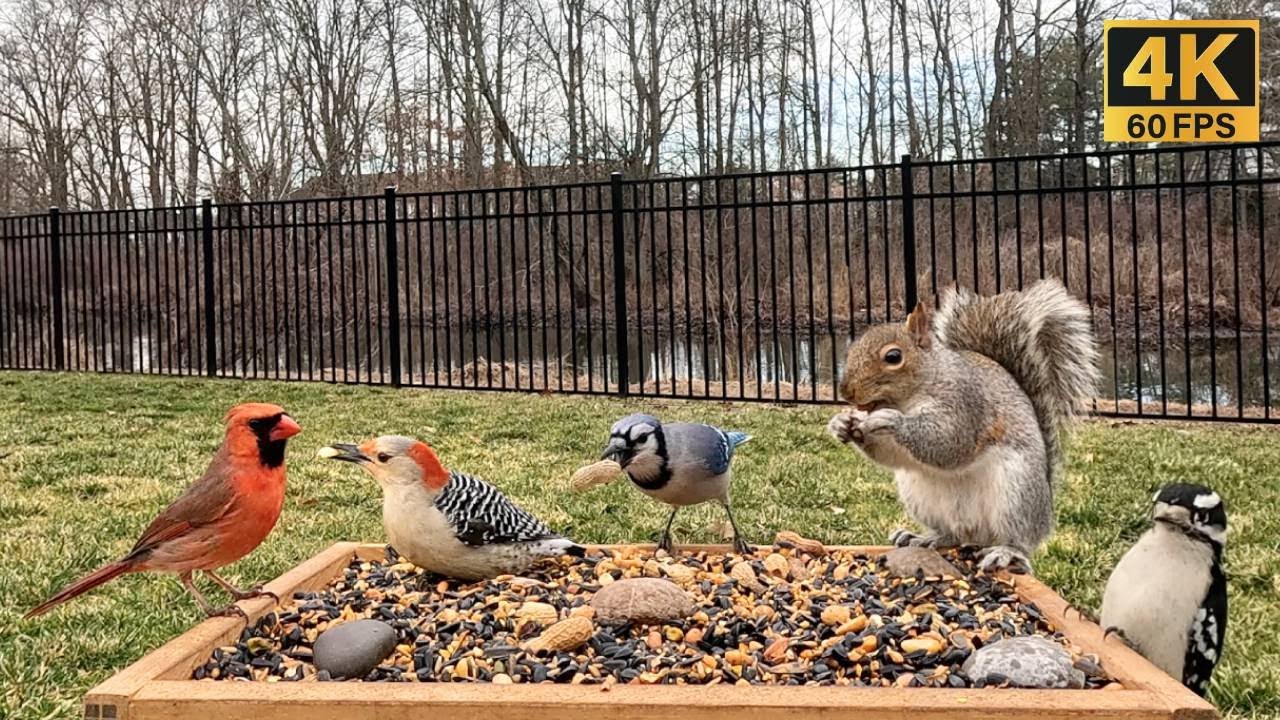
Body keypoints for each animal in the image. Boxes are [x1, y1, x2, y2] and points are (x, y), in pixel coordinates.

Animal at [827, 278, 1098, 573]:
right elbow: (892, 454)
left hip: (1016, 493)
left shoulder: (967, 404)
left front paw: (890, 420)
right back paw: (923, 537)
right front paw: (841, 422)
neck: (914, 393)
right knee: (951, 534)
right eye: (852, 349)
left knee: (1020, 539)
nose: (846, 391)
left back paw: (1006, 552)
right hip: (920, 496)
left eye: (893, 357)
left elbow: (950, 441)